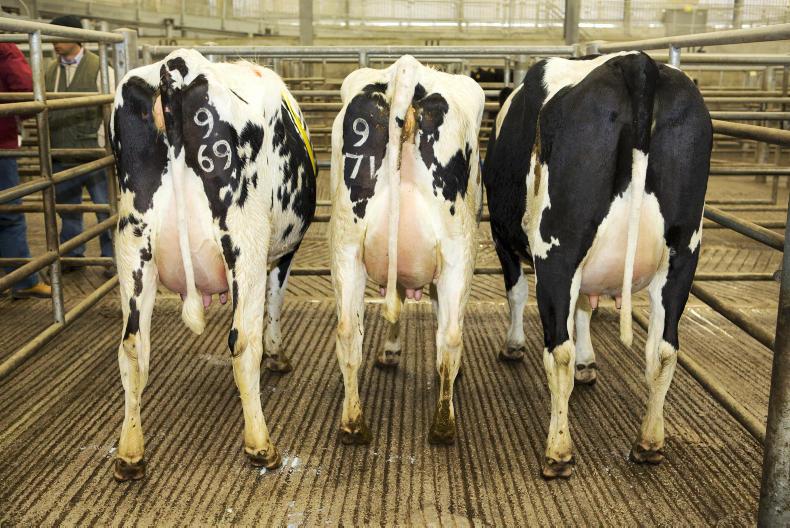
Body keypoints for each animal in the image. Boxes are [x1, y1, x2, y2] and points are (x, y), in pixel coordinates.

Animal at [109, 49, 316, 481]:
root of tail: (177, 67)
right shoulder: (281, 252)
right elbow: (274, 301)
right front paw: (278, 355)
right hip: (244, 239)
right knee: (242, 342)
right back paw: (260, 445)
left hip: (132, 244)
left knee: (133, 347)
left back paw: (130, 453)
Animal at [329, 55, 485, 445]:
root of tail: (406, 70)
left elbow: (395, 300)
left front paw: (389, 350)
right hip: (460, 252)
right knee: (451, 337)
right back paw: (443, 426)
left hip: (345, 246)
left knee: (347, 332)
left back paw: (353, 425)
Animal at [483, 52, 711, 478]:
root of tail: (637, 62)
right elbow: (585, 309)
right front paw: (590, 363)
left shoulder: (502, 237)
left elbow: (517, 293)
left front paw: (513, 345)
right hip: (682, 254)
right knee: (664, 350)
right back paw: (649, 444)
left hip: (558, 249)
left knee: (558, 351)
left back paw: (558, 453)